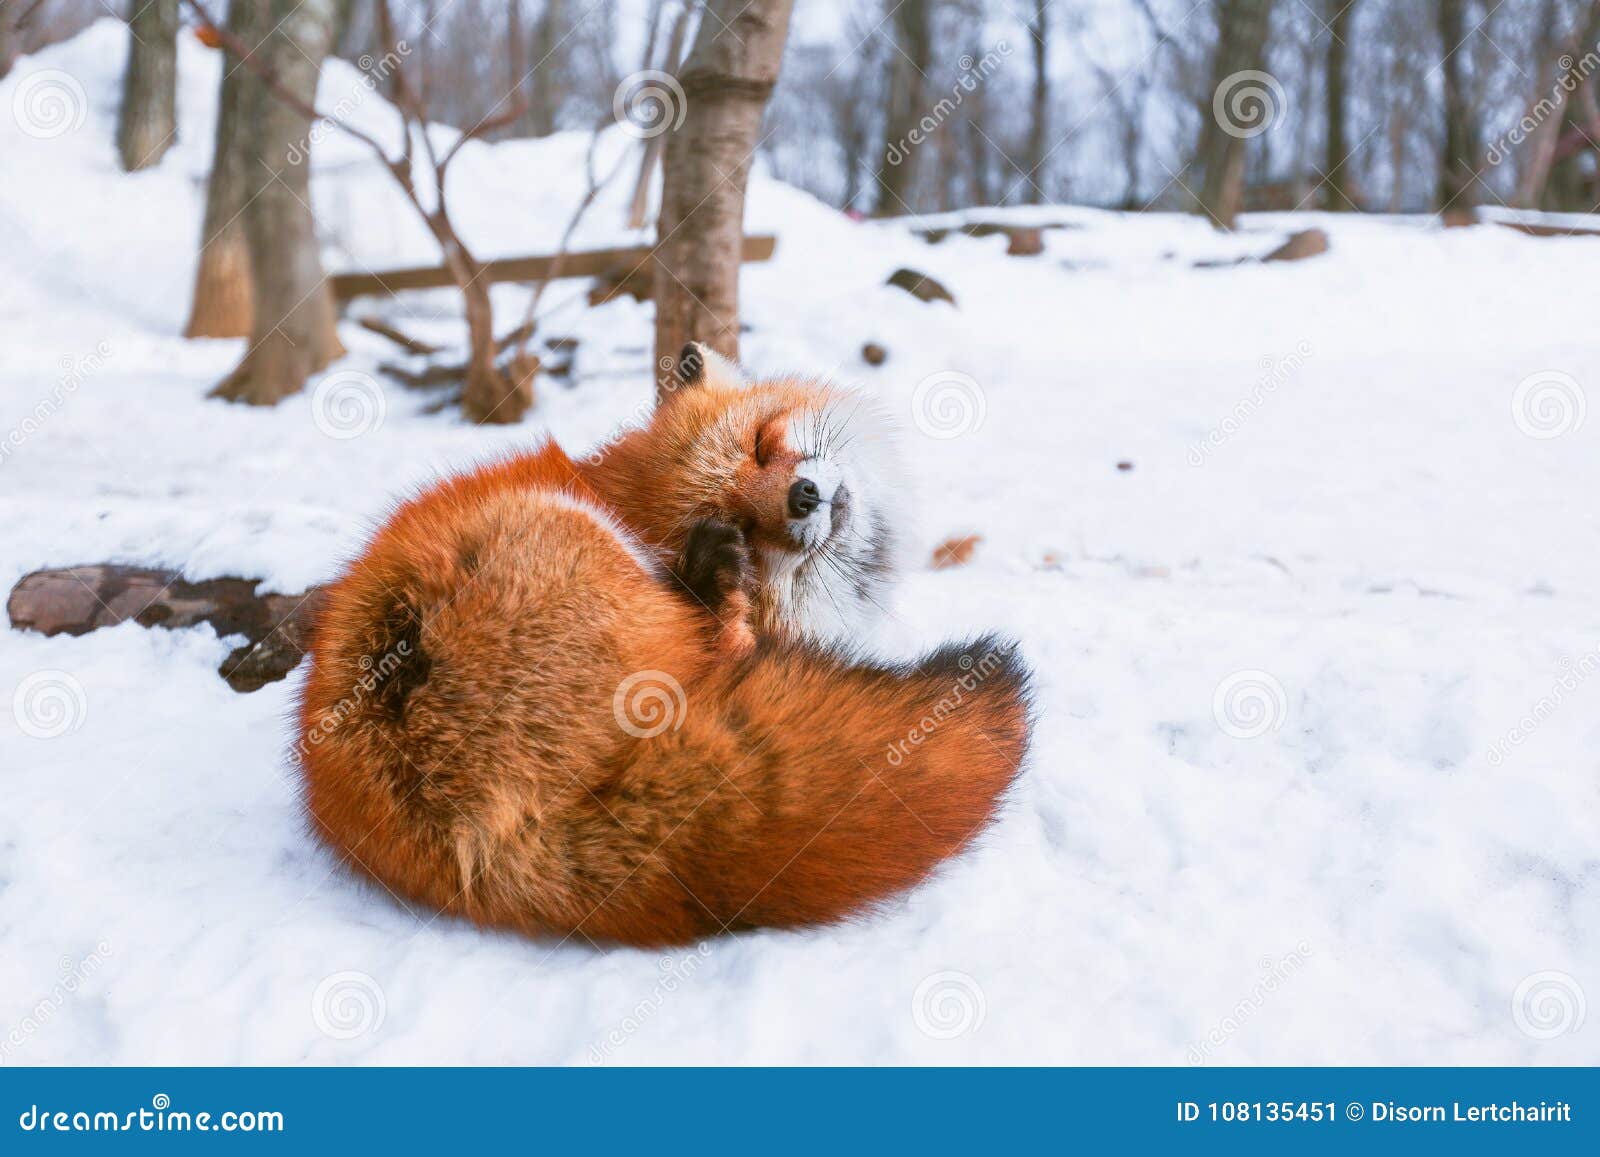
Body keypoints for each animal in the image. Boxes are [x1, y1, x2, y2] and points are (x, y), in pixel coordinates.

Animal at [295, 343, 1032, 946]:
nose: (802, 496)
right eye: (744, 521)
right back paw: (712, 590)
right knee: (718, 643)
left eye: (760, 446)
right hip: (587, 546)